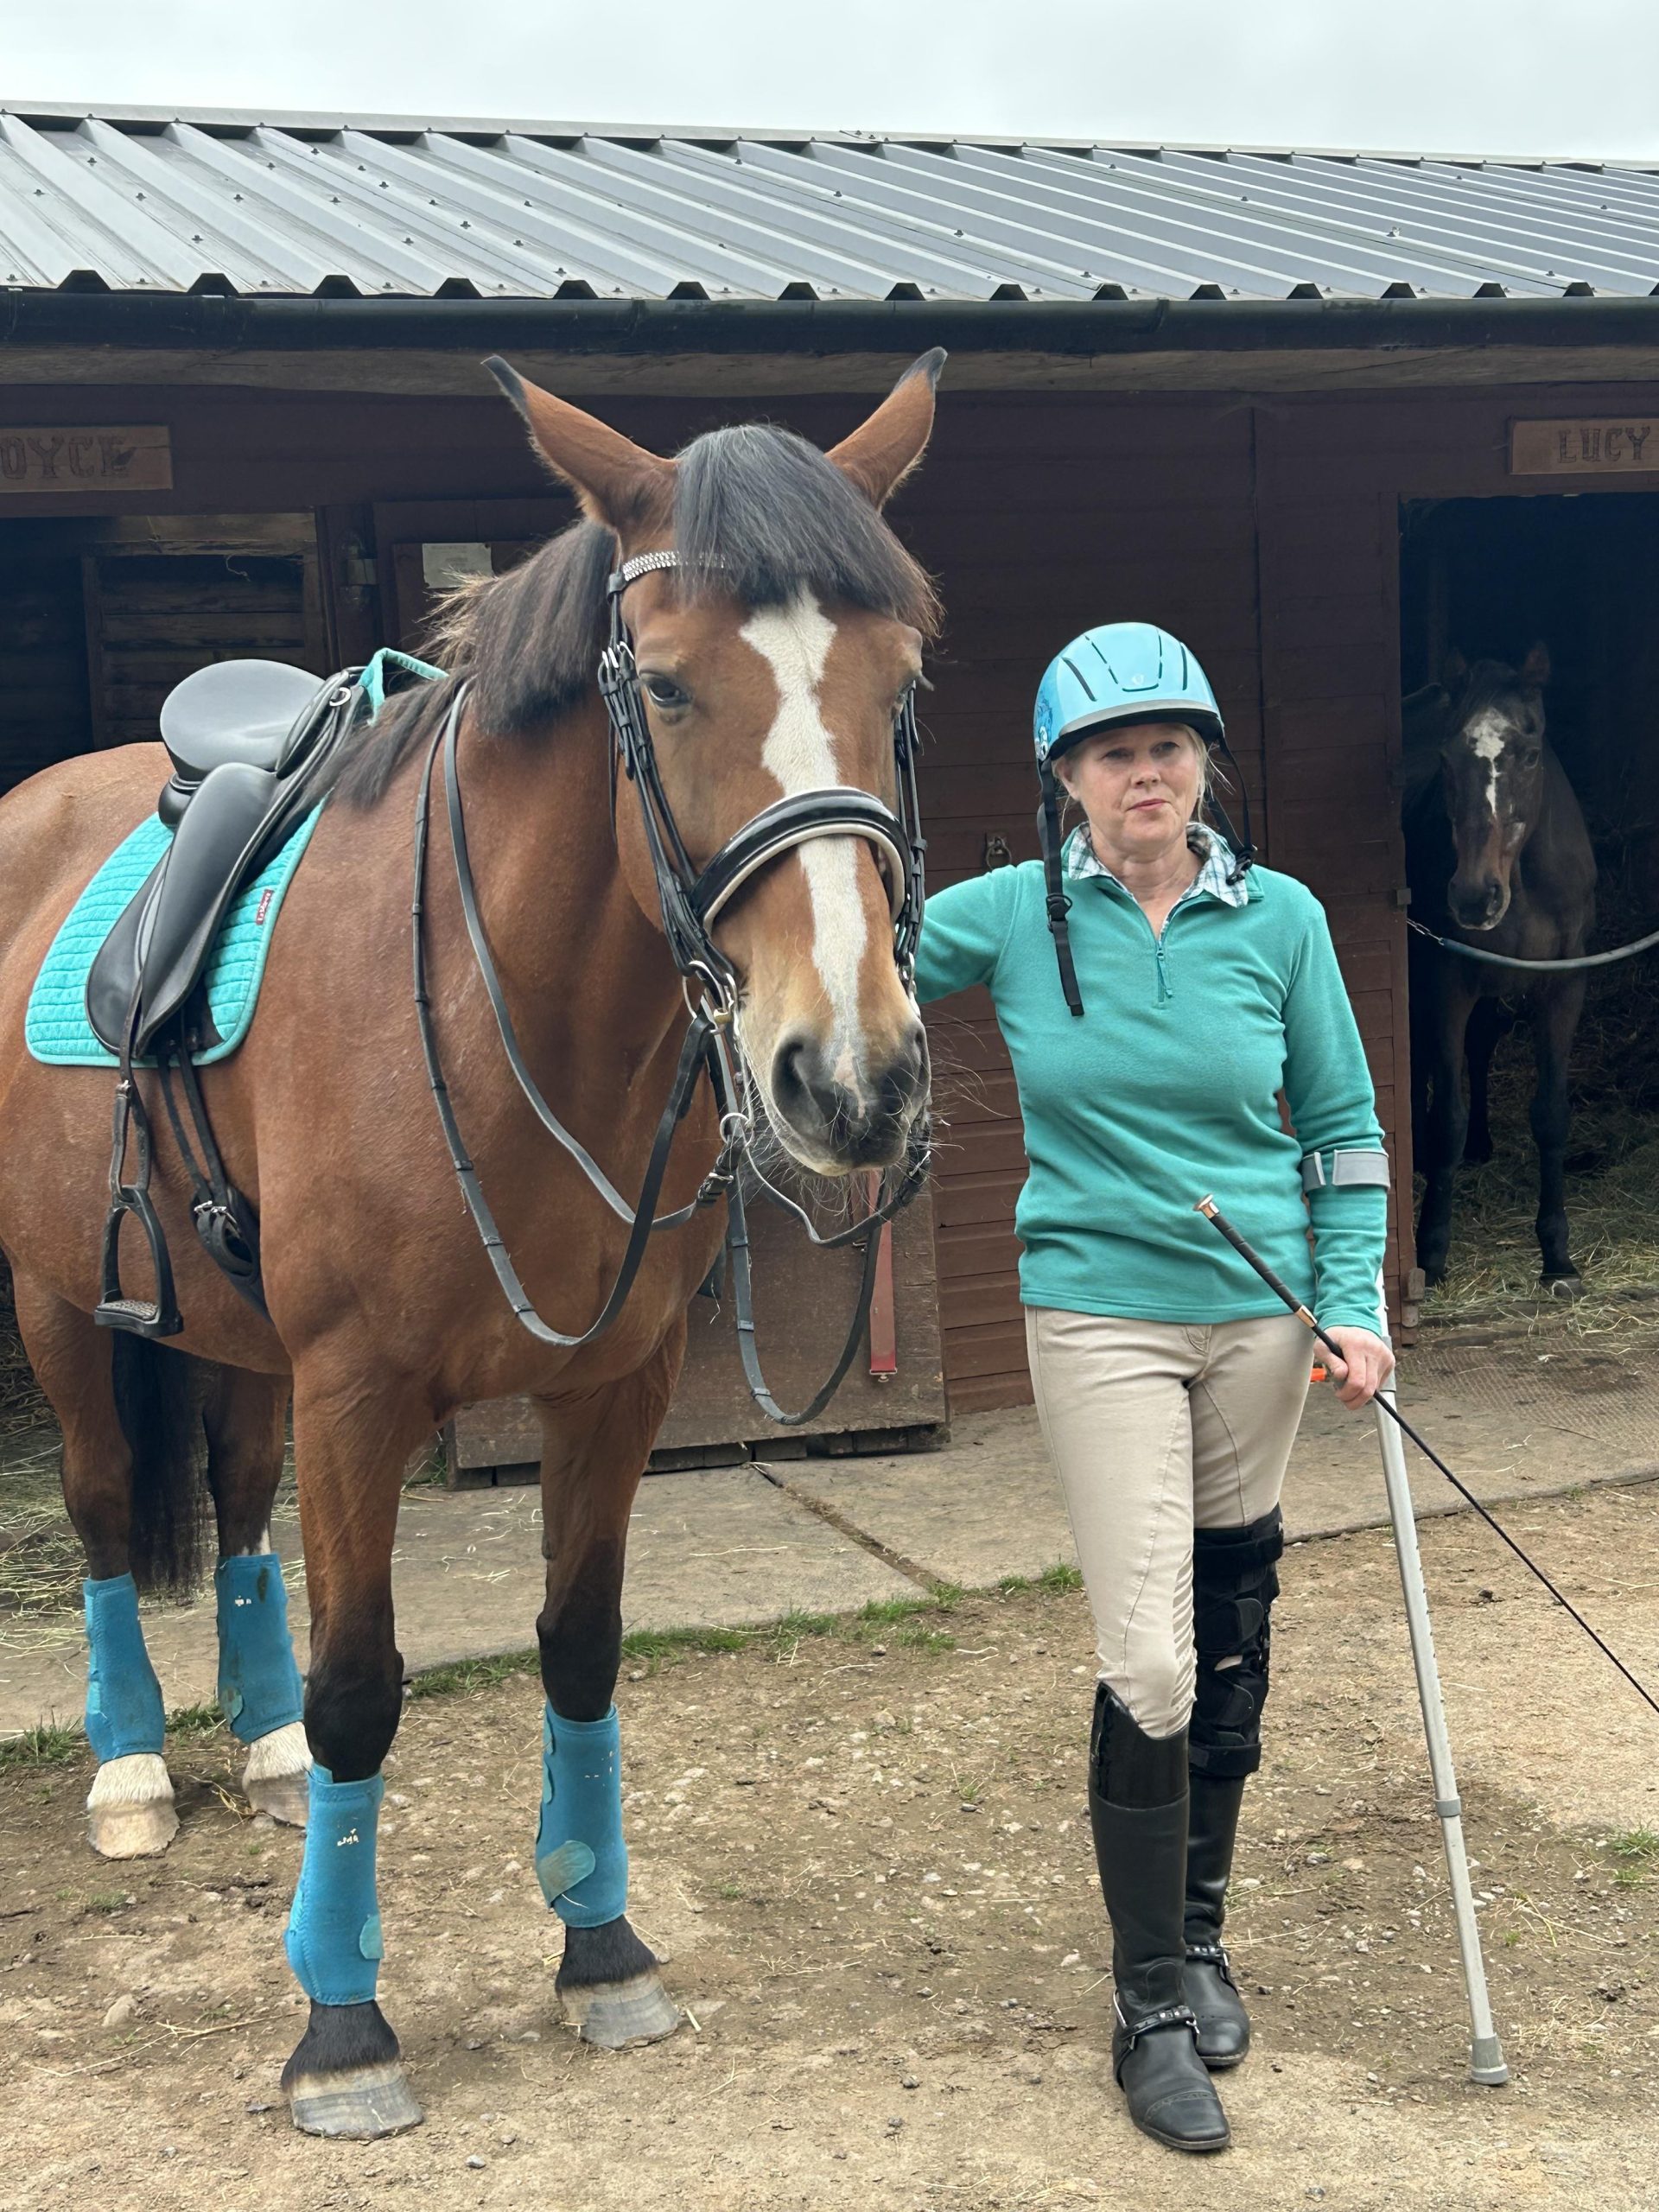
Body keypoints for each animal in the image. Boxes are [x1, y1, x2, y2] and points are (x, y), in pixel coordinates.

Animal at [0, 353, 944, 2136]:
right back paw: (134, 1767)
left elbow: (579, 1650)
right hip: (57, 1303)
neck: (516, 1014)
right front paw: (341, 2023)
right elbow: (366, 1682)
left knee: (238, 1500)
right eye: (668, 685)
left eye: (903, 682)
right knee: (97, 1510)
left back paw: (262, 1747)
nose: (848, 1075)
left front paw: (603, 1943)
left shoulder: (616, 1386)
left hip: (242, 1335)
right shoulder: (361, 1393)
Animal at [1403, 646, 1598, 1290]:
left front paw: (1557, 1256)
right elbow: (1448, 1117)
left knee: (1482, 1047)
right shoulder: (1448, 985)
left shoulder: (1564, 989)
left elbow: (1552, 1115)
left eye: (1531, 752)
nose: (1473, 897)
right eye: (1446, 757)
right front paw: (1431, 1253)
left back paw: (1483, 1143)